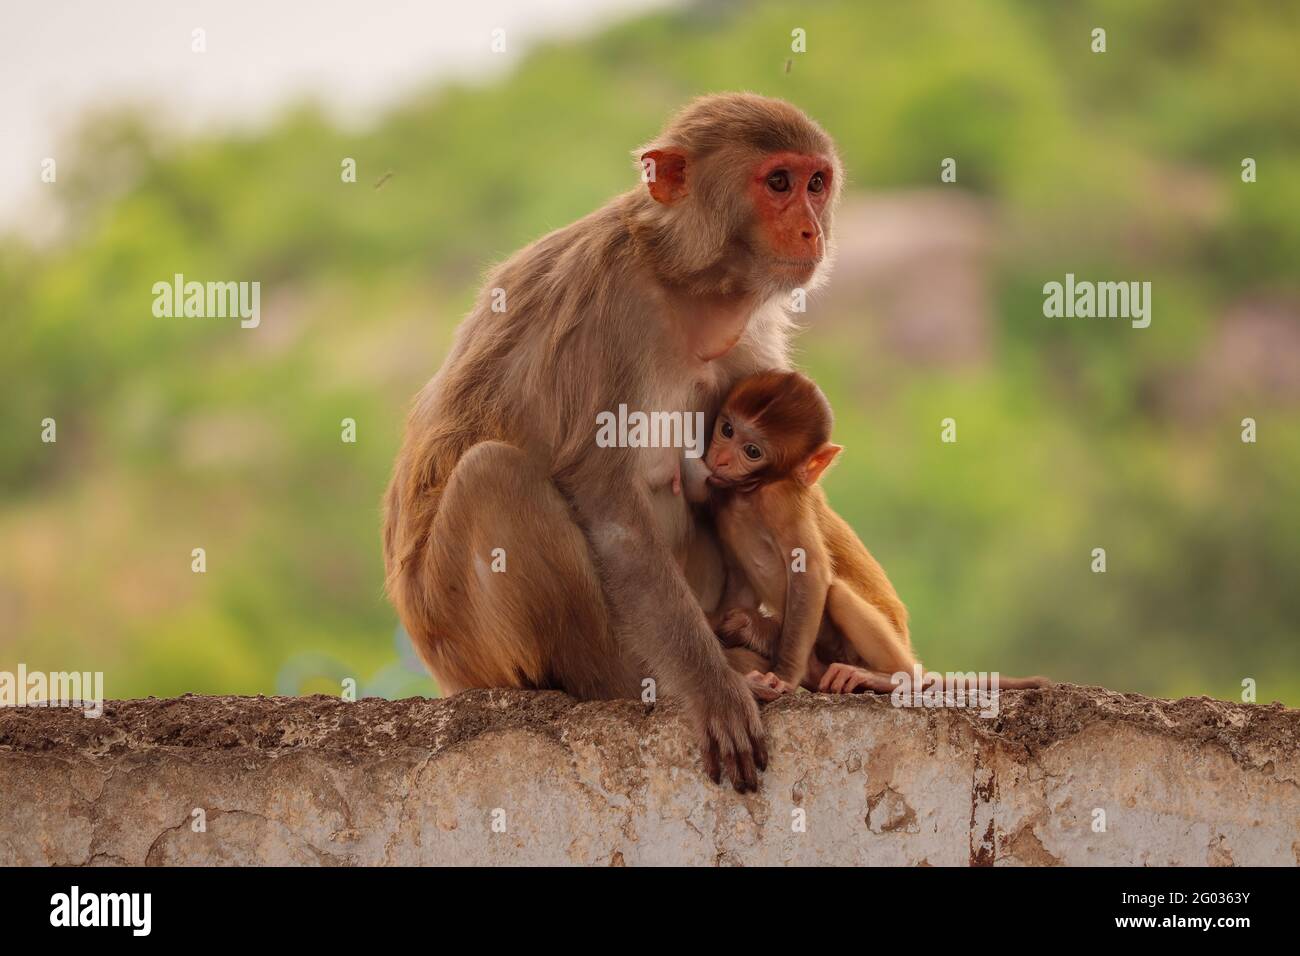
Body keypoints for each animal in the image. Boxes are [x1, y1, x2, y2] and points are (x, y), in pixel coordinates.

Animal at [383, 93, 846, 792]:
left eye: (816, 184)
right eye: (778, 183)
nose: (813, 230)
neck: (683, 283)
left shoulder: (743, 345)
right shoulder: (603, 315)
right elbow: (610, 507)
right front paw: (713, 691)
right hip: (464, 640)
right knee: (494, 475)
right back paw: (627, 682)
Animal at [684, 369, 1049, 697]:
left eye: (752, 451)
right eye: (727, 430)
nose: (721, 458)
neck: (750, 494)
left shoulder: (782, 503)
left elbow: (812, 574)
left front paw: (784, 676)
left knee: (838, 596)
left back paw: (892, 679)